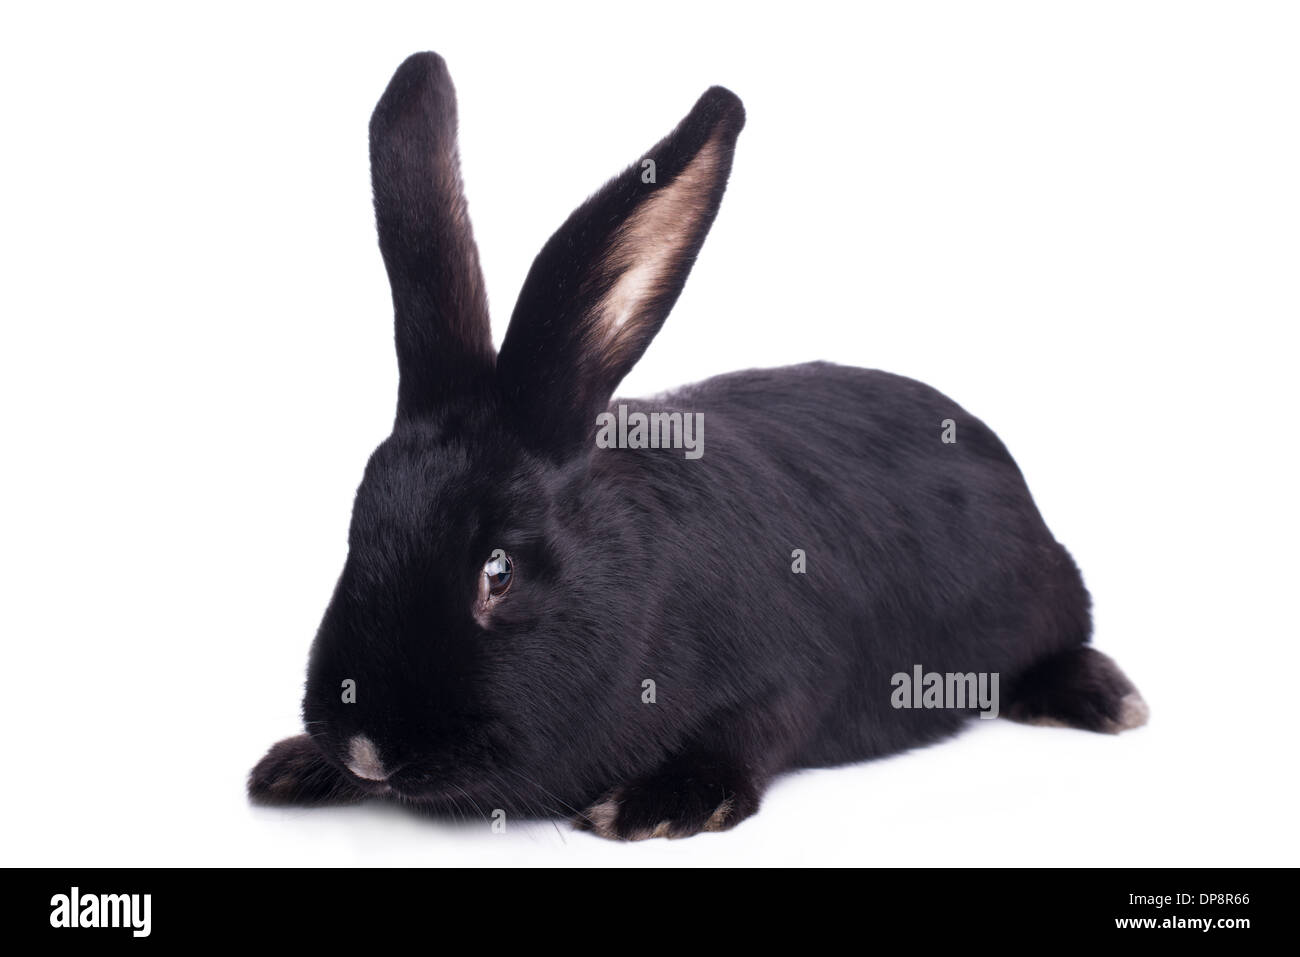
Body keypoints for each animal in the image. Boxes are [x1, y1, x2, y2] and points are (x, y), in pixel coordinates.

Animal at [249, 51, 1148, 840]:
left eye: (498, 571)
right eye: (355, 529)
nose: (367, 748)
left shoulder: (789, 672)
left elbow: (753, 734)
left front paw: (652, 806)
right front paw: (291, 767)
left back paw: (1102, 699)